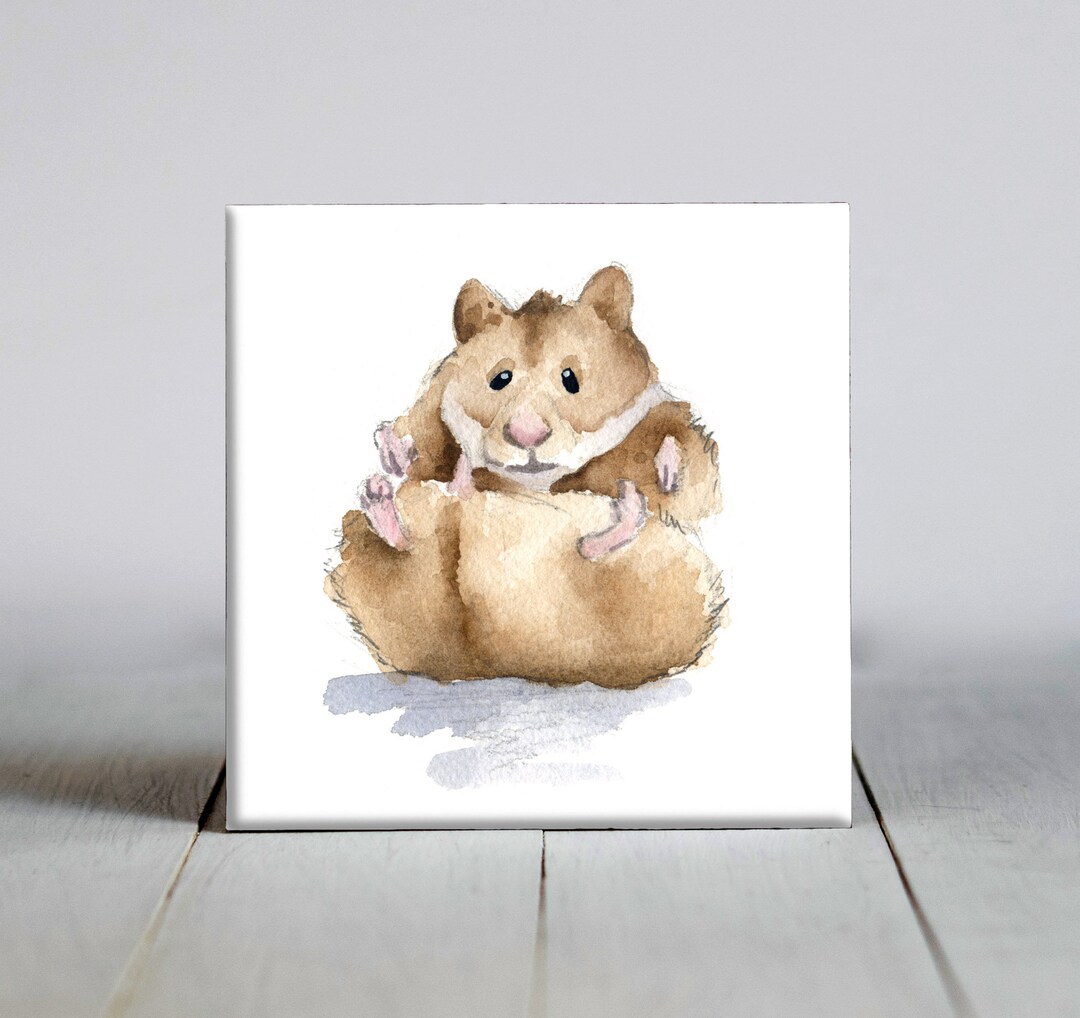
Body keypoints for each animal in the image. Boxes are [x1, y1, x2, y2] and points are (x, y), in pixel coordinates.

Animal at [325, 266, 727, 687]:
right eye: (499, 378)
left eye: (572, 378)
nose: (527, 435)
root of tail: (499, 662)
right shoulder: (433, 403)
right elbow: (419, 431)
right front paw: (395, 448)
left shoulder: (676, 432)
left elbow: (686, 460)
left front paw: (666, 466)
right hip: (392, 562)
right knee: (408, 543)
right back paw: (391, 495)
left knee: (597, 550)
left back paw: (623, 512)